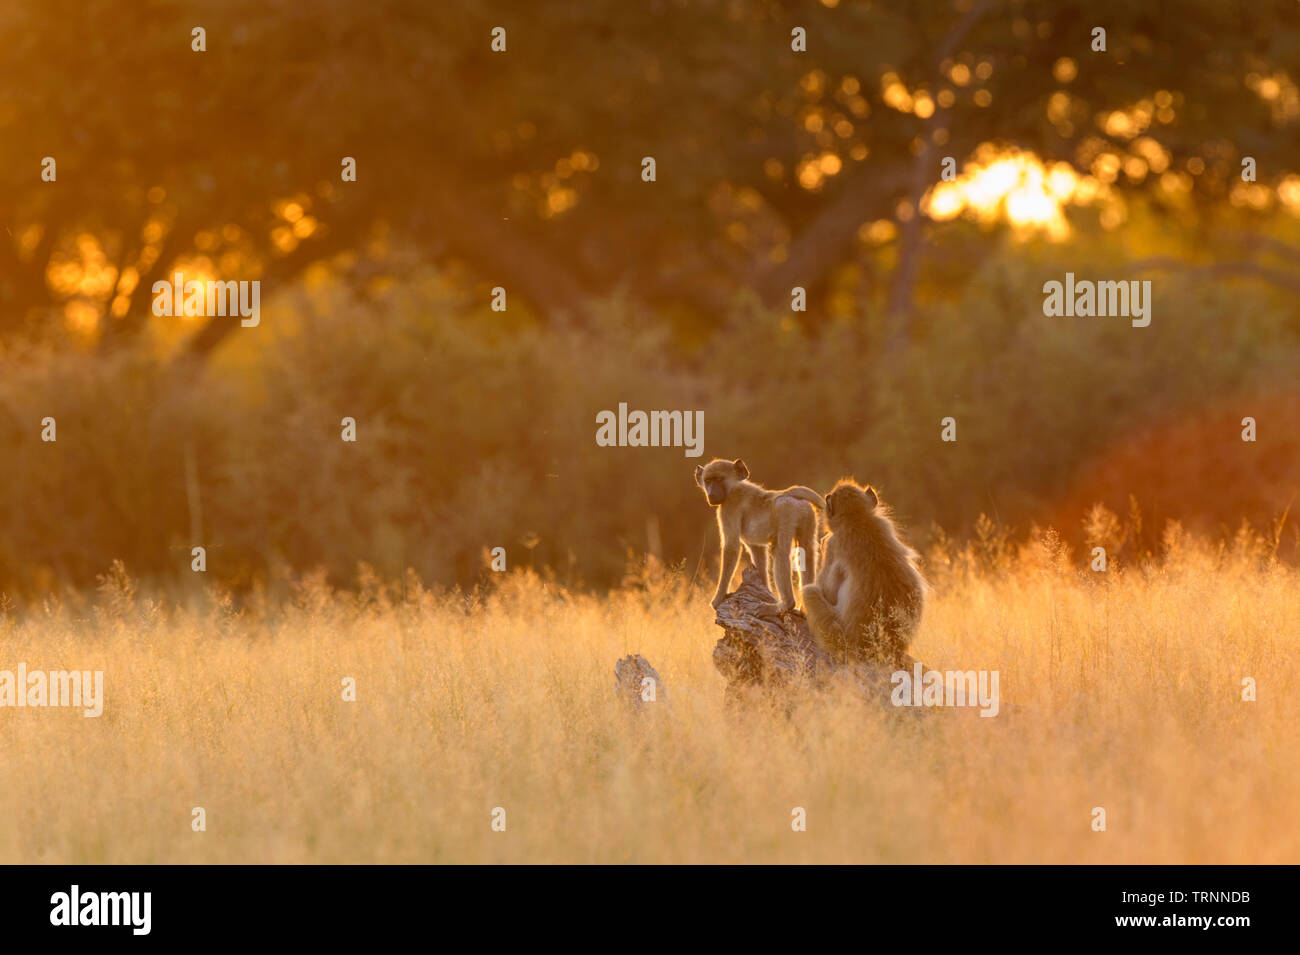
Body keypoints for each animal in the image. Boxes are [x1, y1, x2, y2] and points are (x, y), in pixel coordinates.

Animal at [694, 457, 825, 611]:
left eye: (719, 479)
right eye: (708, 481)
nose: (712, 494)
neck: (734, 487)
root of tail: (787, 494)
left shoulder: (729, 506)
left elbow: (732, 546)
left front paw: (718, 598)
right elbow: (758, 553)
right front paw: (765, 591)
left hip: (785, 509)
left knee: (780, 552)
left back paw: (785, 605)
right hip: (807, 513)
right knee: (808, 551)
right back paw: (804, 608)